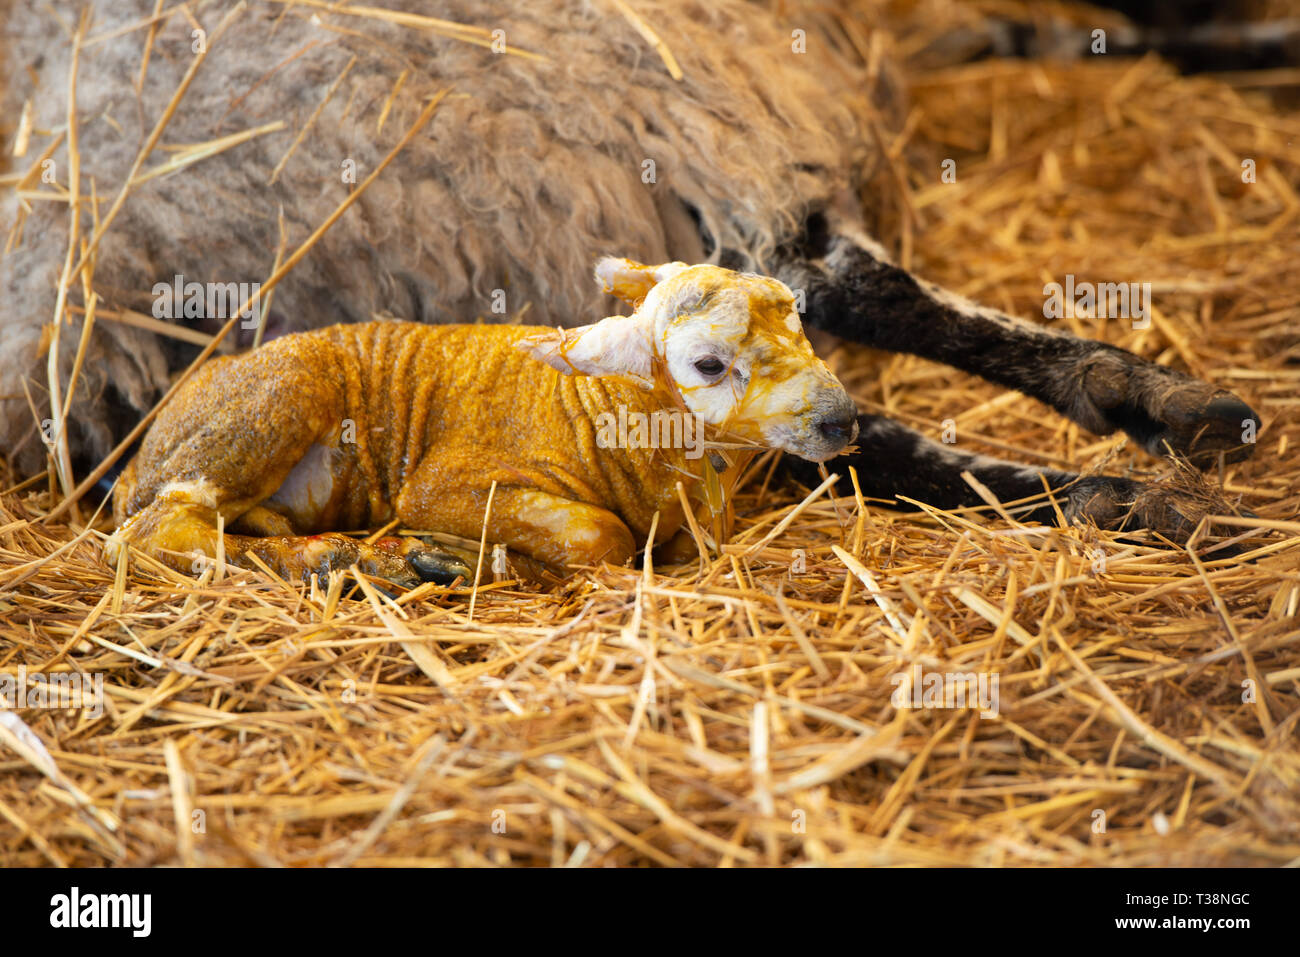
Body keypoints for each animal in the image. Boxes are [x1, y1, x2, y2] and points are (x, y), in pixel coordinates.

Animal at [107, 257, 857, 584]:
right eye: (708, 363)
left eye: (800, 323)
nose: (841, 419)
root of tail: (139, 459)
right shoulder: (443, 485)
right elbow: (597, 536)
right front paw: (462, 556)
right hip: (272, 399)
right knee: (154, 531)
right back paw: (328, 558)